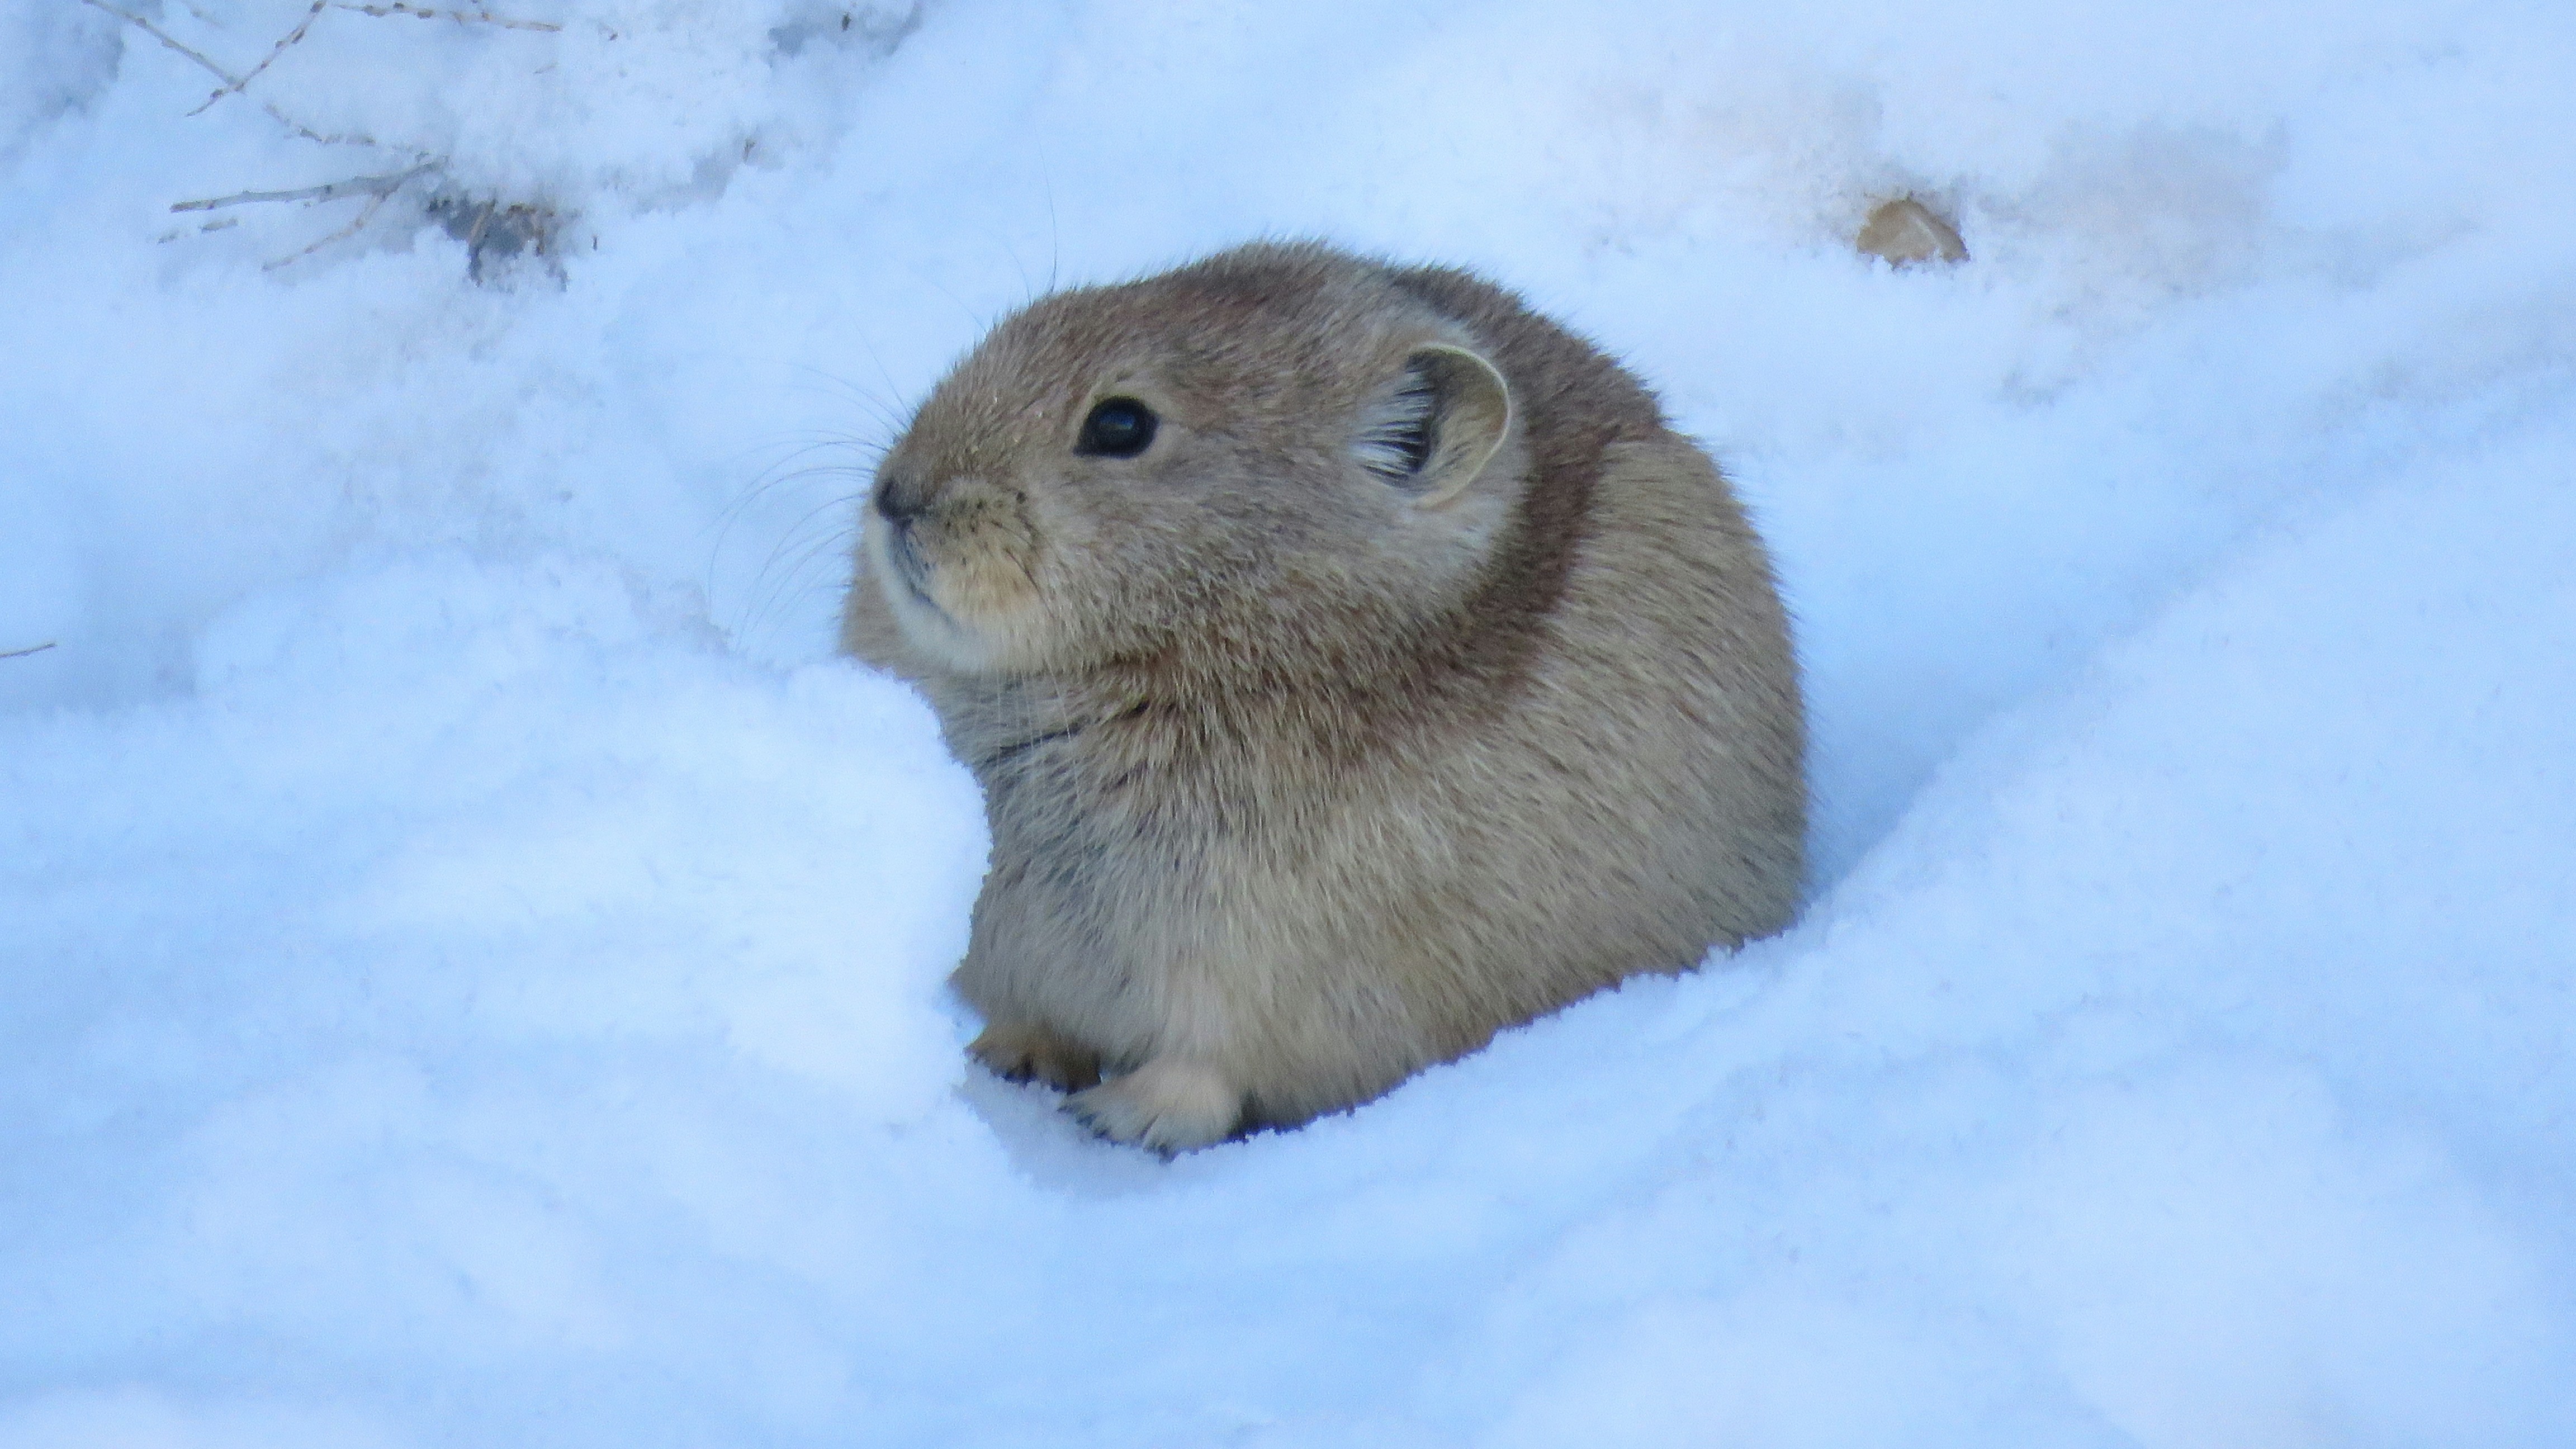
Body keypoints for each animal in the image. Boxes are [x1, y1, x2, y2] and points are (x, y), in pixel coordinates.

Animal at [841, 241, 1804, 1152]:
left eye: (1121, 424)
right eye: (1030, 321)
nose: (897, 496)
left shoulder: (1240, 973)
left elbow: (1203, 1068)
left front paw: (1125, 1120)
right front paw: (1010, 1058)